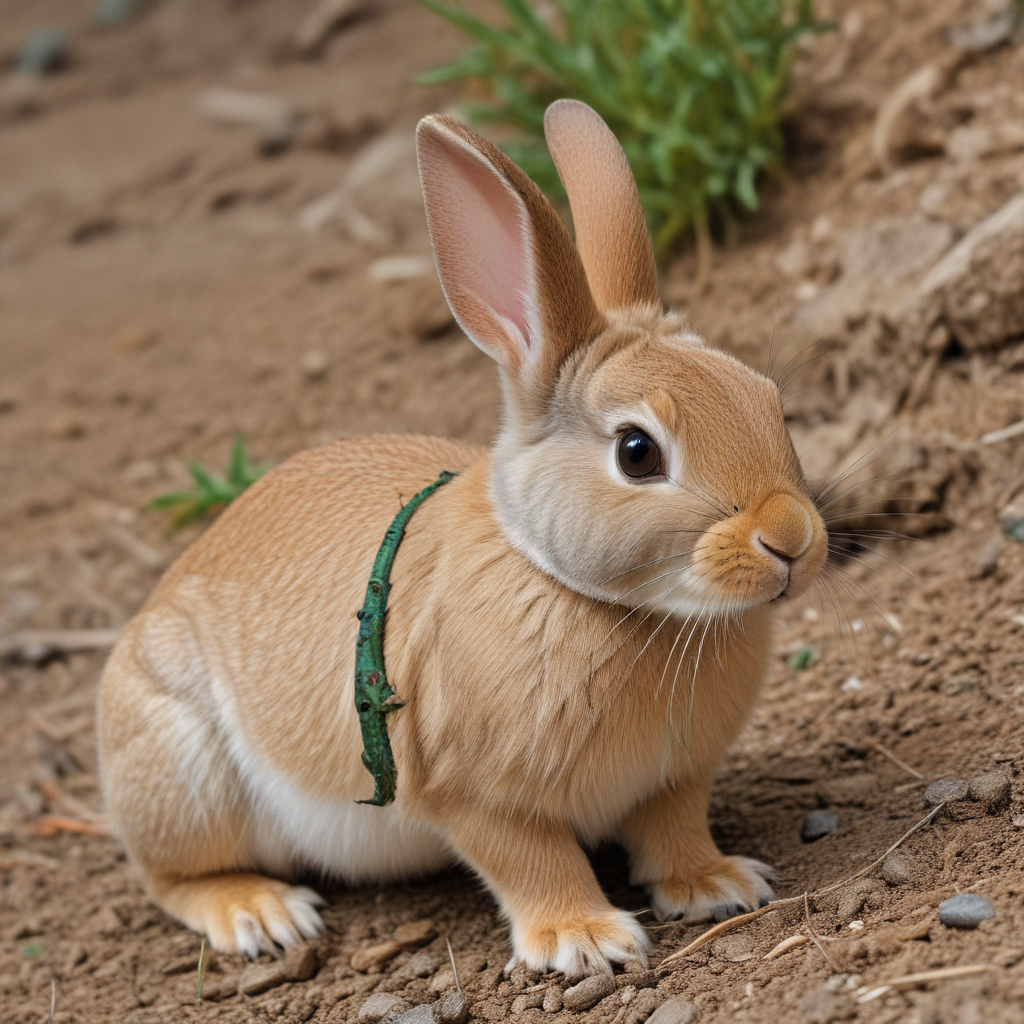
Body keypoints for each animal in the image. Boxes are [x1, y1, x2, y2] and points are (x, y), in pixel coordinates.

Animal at [97, 99, 827, 979]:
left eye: (769, 400)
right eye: (637, 452)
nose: (793, 541)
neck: (579, 590)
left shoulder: (676, 780)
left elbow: (675, 831)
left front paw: (718, 885)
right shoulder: (473, 794)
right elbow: (534, 861)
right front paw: (586, 940)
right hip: (182, 766)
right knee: (170, 877)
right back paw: (260, 915)